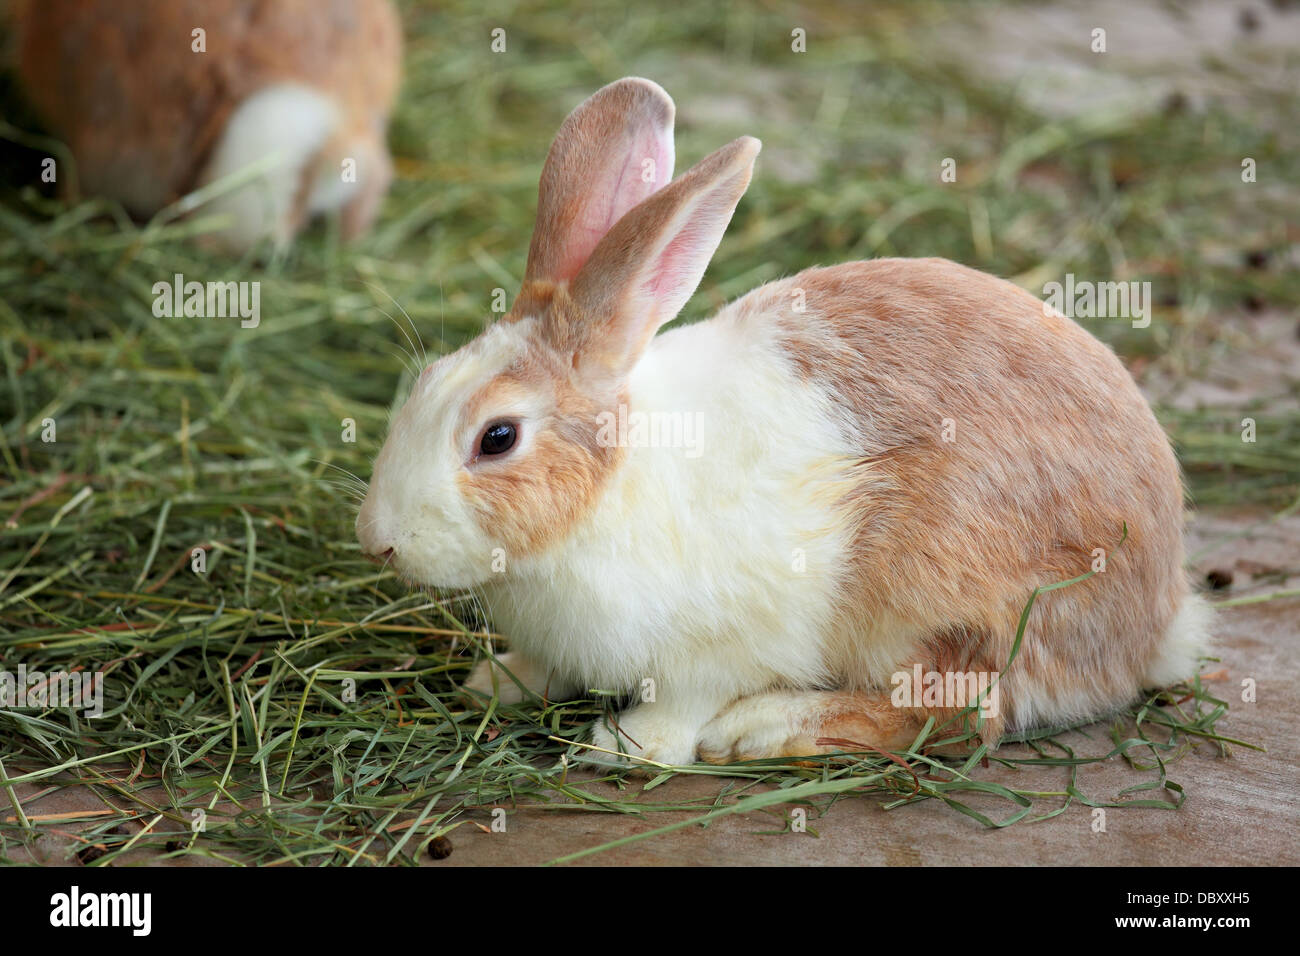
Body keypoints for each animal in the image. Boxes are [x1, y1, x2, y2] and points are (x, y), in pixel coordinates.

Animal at [356, 77, 1210, 767]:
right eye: (424, 382)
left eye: (497, 438)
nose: (378, 540)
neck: (610, 489)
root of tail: (1154, 619)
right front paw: (497, 682)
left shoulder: (716, 648)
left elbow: (682, 704)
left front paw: (628, 746)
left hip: (951, 604)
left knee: (959, 715)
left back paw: (761, 730)